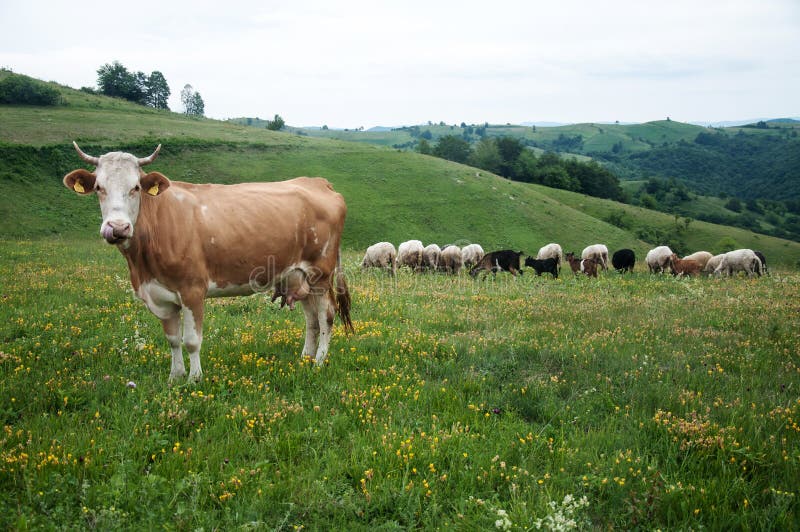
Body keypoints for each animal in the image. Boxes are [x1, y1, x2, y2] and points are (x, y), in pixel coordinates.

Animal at [64, 142, 352, 381]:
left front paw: (194, 379)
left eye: (135, 188)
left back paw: (319, 361)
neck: (142, 265)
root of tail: (319, 182)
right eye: (99, 188)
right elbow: (172, 339)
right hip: (298, 276)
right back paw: (305, 358)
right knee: (312, 320)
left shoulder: (192, 290)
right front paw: (175, 377)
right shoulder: (160, 295)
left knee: (326, 316)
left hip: (320, 273)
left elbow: (191, 340)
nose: (118, 228)